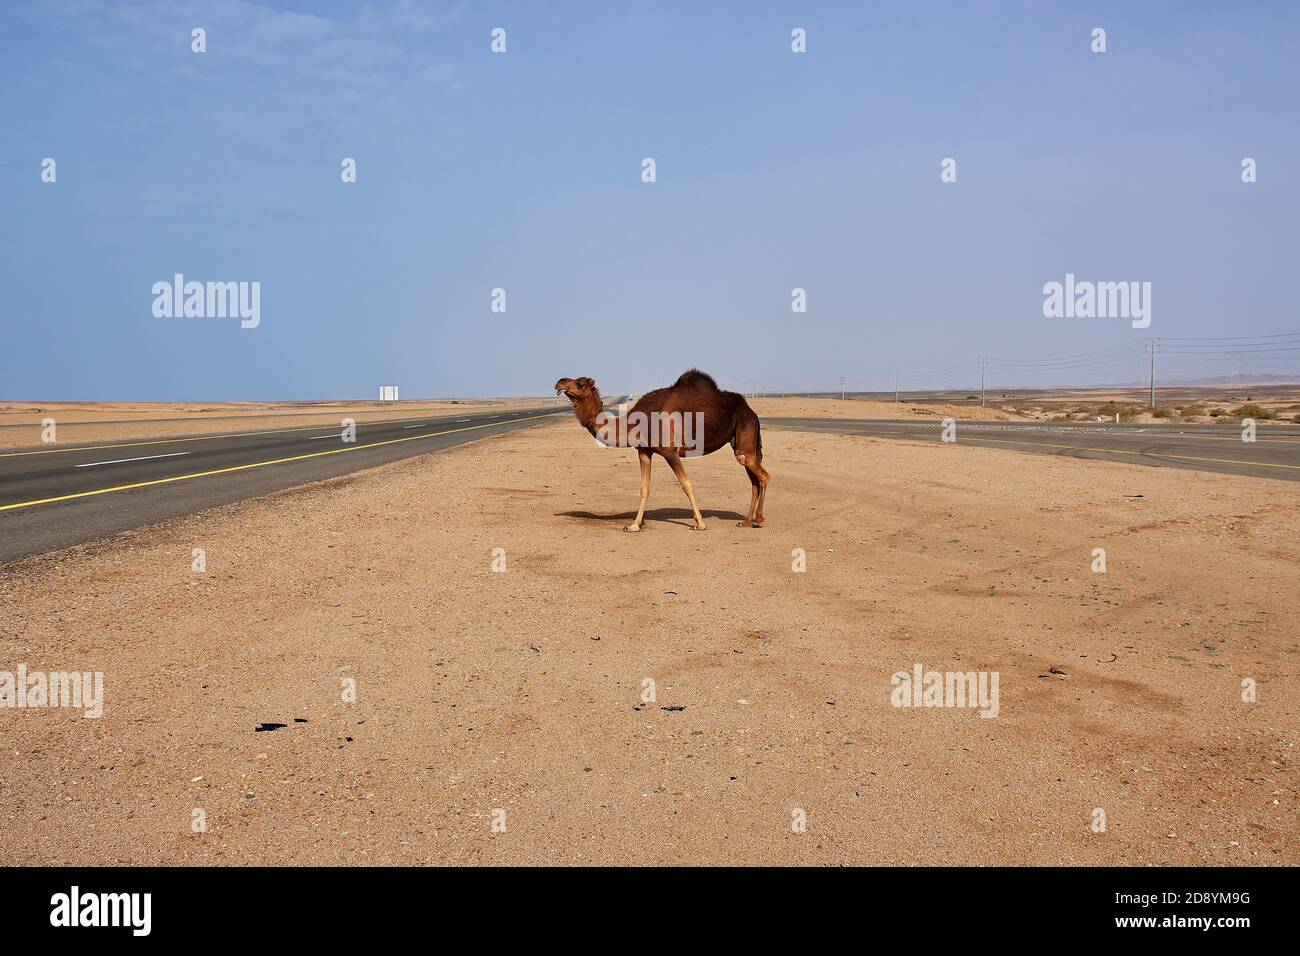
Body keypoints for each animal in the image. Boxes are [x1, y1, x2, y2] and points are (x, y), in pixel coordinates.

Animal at [554, 369, 769, 532]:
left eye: (580, 384)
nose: (559, 382)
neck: (635, 423)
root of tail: (752, 412)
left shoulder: (669, 451)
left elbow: (687, 484)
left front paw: (699, 524)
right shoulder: (644, 451)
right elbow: (644, 488)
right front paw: (633, 525)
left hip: (745, 435)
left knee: (763, 476)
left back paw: (758, 519)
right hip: (740, 443)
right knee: (754, 480)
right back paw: (746, 521)